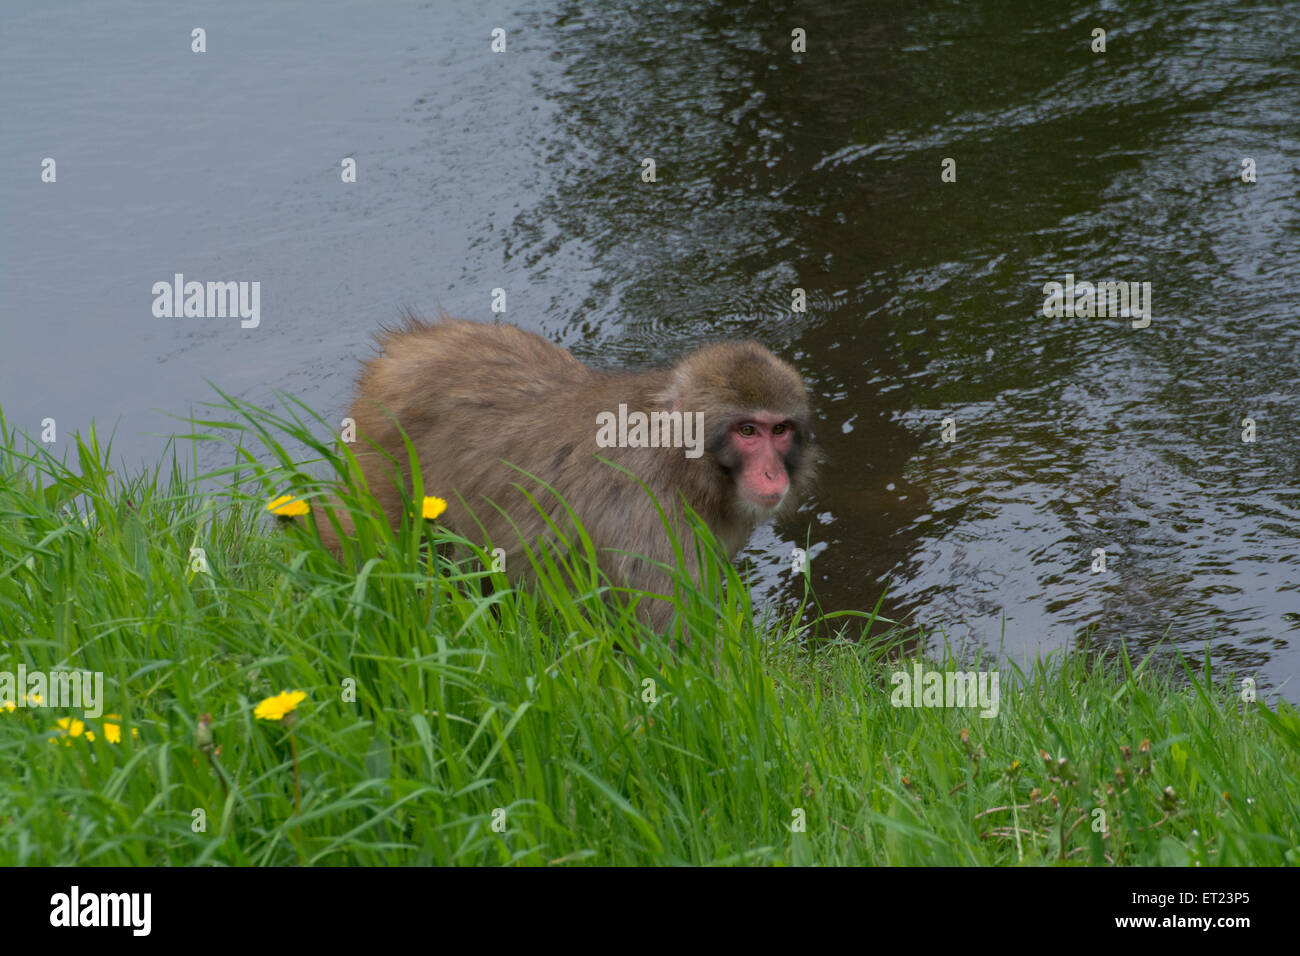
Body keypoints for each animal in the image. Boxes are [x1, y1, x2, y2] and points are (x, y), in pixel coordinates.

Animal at [309, 314, 817, 632]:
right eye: (747, 430)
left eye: (780, 430)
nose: (772, 475)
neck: (681, 463)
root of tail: (401, 351)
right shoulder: (647, 517)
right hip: (382, 457)